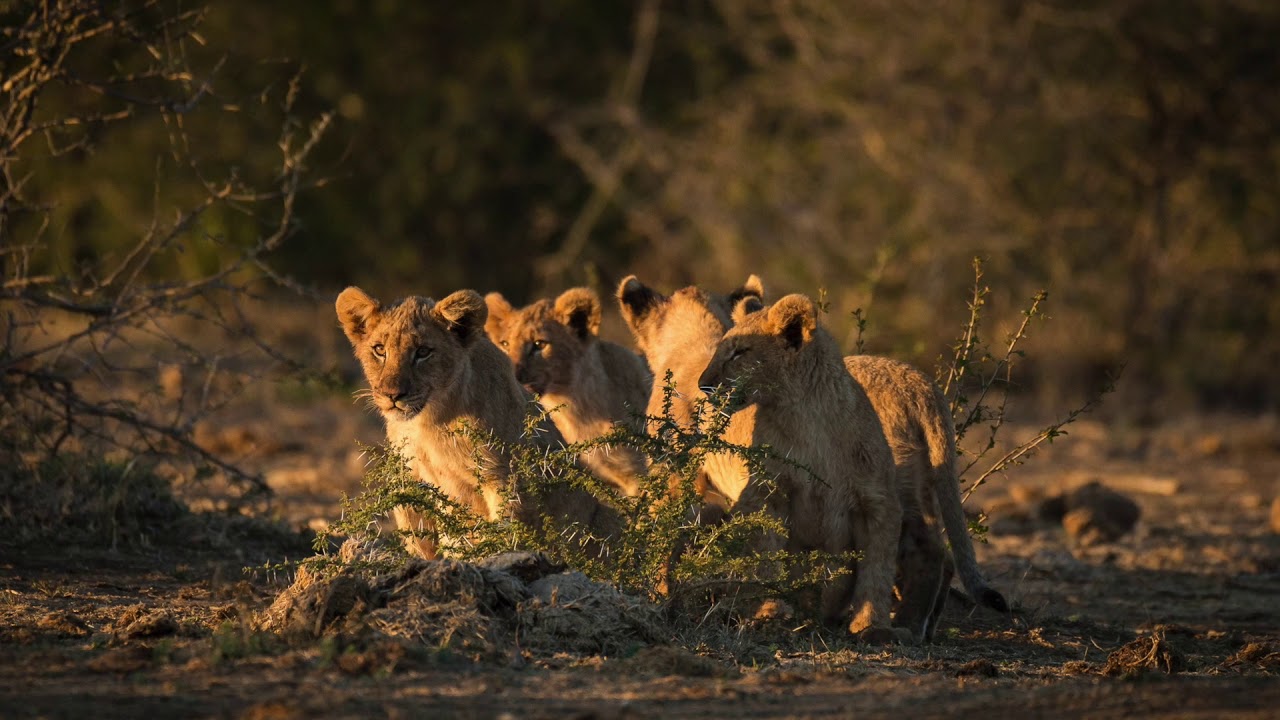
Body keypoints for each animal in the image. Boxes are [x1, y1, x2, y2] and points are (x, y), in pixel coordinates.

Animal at [335, 286, 619, 559]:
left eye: (423, 352)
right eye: (379, 350)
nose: (393, 395)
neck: (429, 423)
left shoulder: (504, 475)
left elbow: (507, 529)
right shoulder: (411, 477)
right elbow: (417, 534)